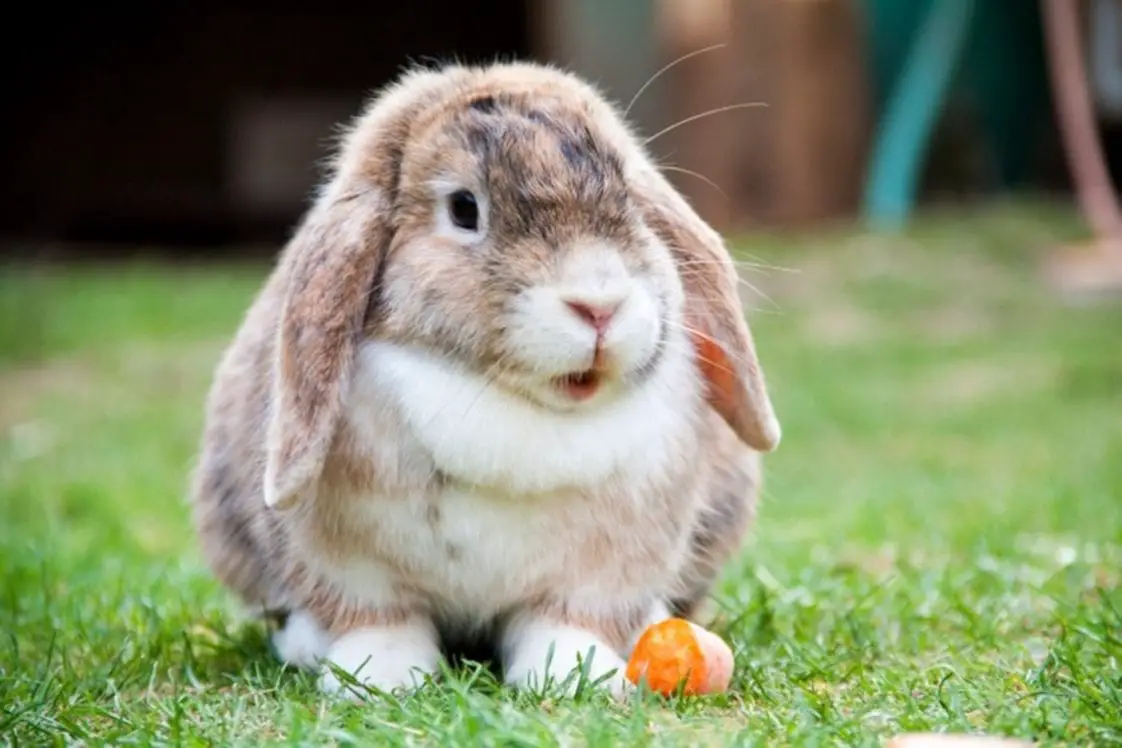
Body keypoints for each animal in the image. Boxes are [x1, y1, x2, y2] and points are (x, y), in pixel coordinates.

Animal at [188, 60, 781, 701]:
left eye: (627, 195)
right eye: (464, 209)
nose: (600, 305)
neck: (507, 402)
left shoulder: (600, 573)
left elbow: (564, 622)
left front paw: (575, 677)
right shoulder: (351, 569)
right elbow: (380, 621)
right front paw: (380, 680)